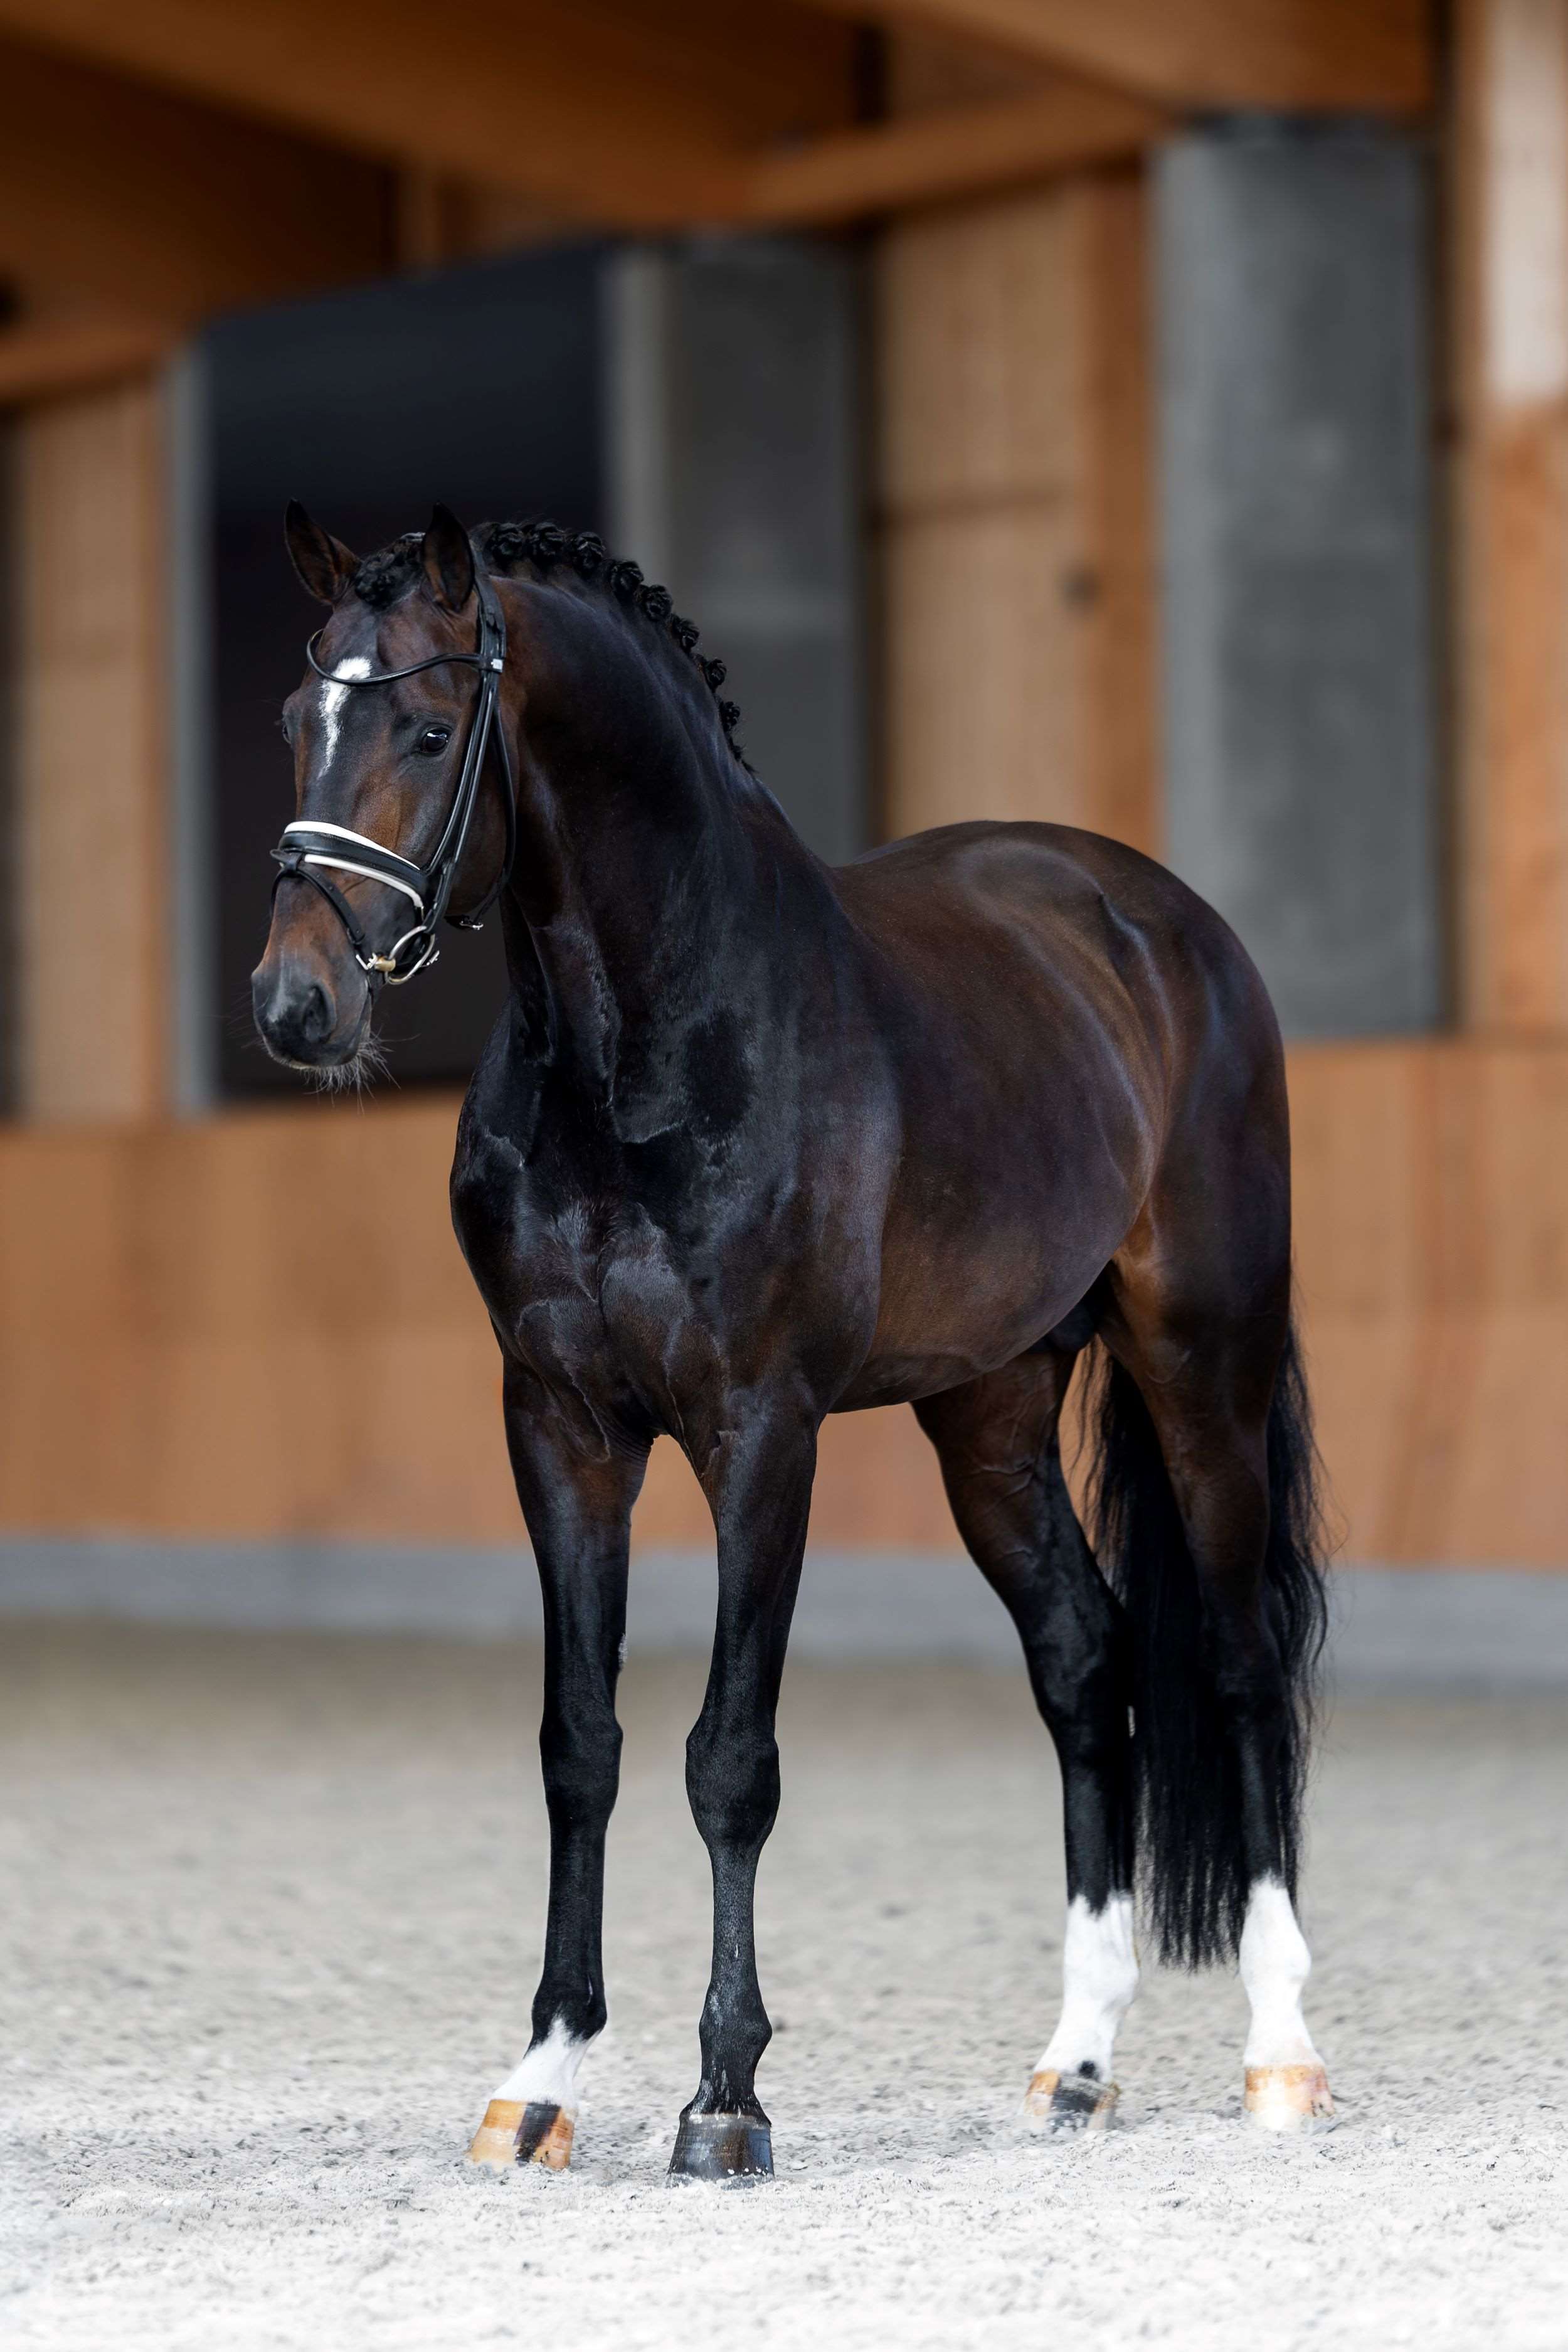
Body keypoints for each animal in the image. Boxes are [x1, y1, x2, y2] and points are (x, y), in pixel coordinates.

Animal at [254, 502, 1332, 2181]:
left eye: (427, 730)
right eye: (300, 719)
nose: (292, 1005)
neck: (650, 1038)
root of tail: (1165, 926)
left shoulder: (760, 1427)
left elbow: (728, 1758)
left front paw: (724, 2094)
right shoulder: (559, 1422)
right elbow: (580, 1744)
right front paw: (542, 2073)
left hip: (1200, 1362)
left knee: (1235, 1659)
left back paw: (1279, 2050)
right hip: (989, 1417)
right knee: (1085, 1661)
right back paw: (1077, 2058)